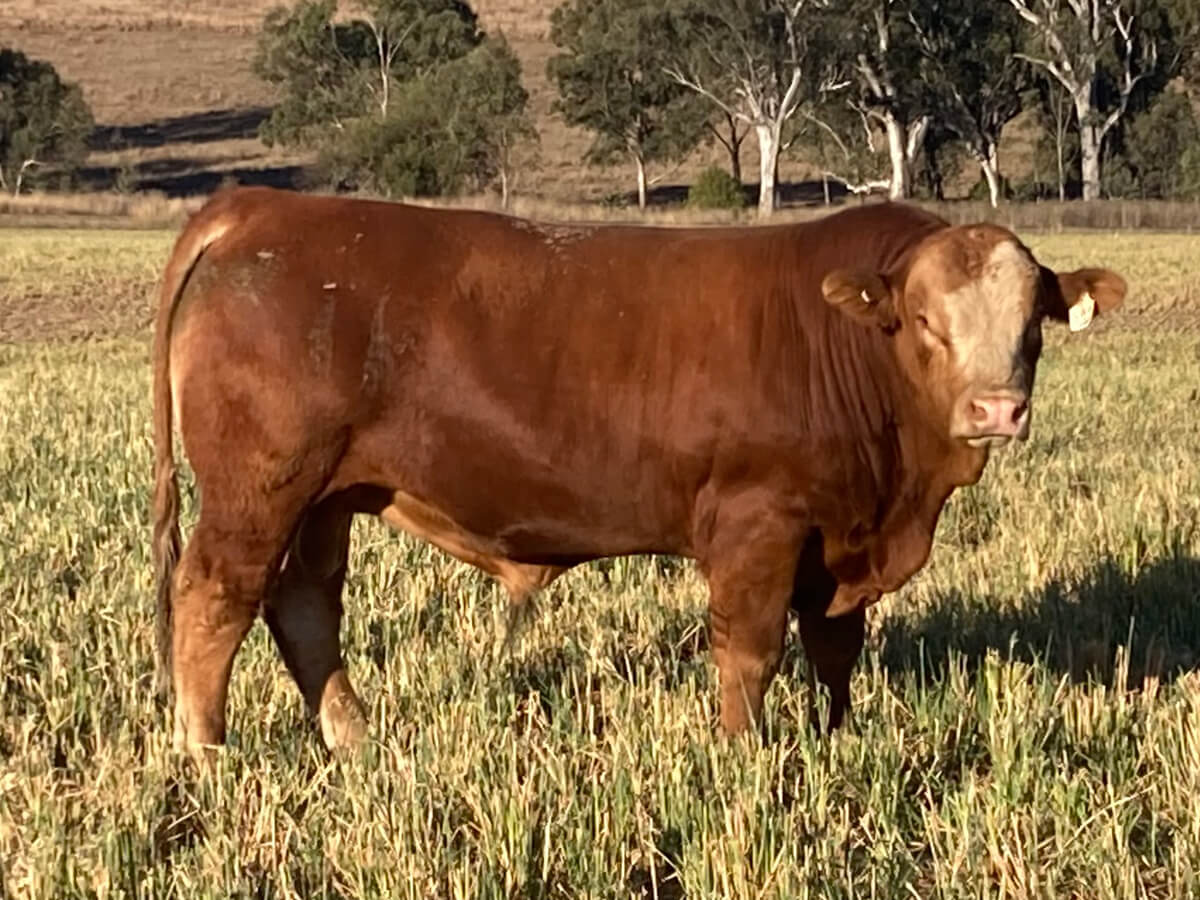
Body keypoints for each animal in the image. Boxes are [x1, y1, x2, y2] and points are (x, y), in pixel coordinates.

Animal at [151, 187, 1126, 754]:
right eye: (925, 320)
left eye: (1033, 322)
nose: (997, 408)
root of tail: (263, 204)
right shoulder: (759, 522)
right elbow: (751, 652)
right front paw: (742, 759)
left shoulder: (840, 535)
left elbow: (836, 648)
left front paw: (837, 744)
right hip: (259, 486)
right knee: (214, 598)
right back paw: (207, 755)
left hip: (325, 496)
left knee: (303, 607)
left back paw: (352, 741)